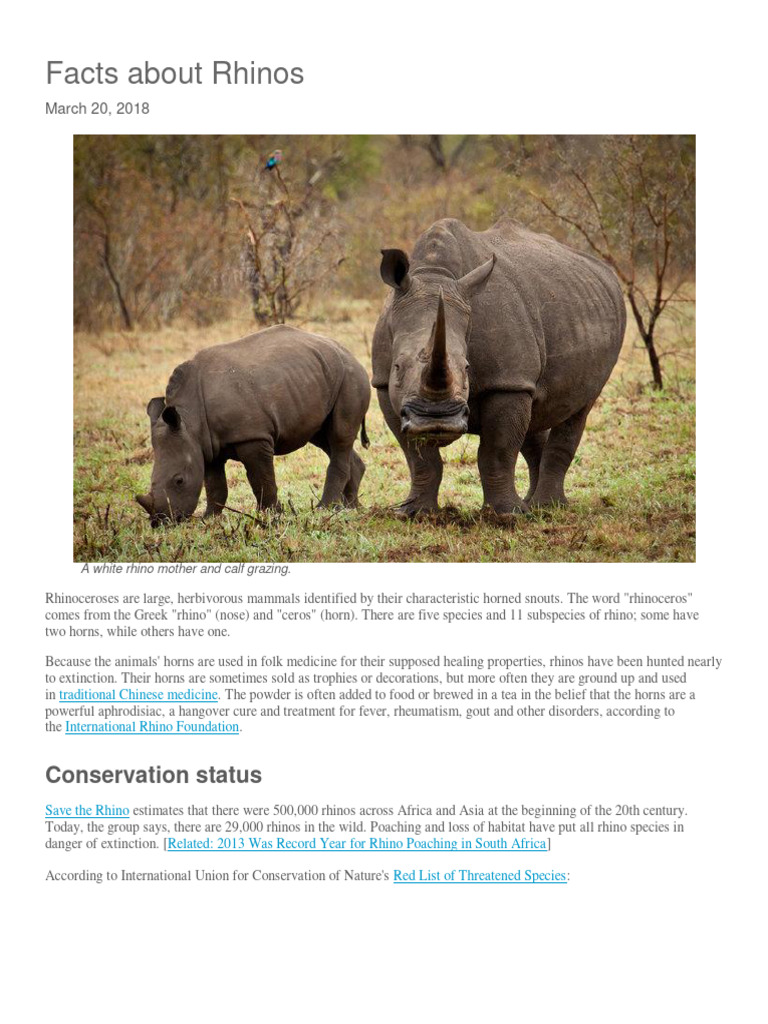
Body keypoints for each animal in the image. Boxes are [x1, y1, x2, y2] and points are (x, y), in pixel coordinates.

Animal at [136, 325, 370, 525]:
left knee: (339, 436)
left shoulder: (252, 436)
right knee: (325, 438)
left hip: (351, 377)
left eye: (179, 481)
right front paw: (210, 518)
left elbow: (261, 479)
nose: (161, 522)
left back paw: (325, 509)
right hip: (320, 378)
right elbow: (214, 484)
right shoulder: (206, 445)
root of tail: (350, 353)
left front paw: (271, 515)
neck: (189, 419)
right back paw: (351, 508)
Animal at [372, 217, 626, 516]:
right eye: (397, 367)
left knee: (578, 408)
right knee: (535, 415)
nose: (437, 420)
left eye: (467, 368)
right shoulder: (383, 385)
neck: (436, 274)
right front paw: (414, 514)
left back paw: (547, 508)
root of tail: (606, 271)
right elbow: (419, 458)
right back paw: (531, 505)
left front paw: (505, 516)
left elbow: (497, 451)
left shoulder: (507, 382)